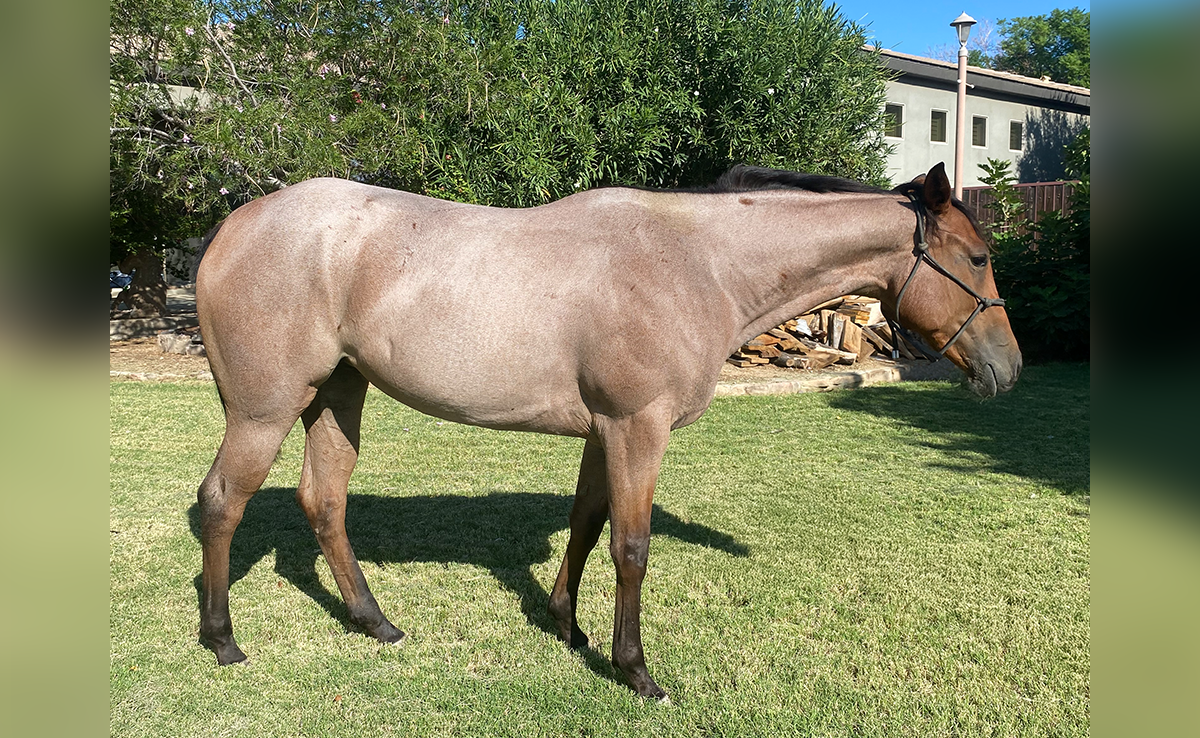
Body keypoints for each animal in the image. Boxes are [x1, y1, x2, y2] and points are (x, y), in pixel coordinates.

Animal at [194, 161, 1020, 700]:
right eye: (978, 258)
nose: (1008, 368)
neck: (696, 263)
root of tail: (234, 225)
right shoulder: (637, 429)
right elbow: (632, 547)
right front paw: (635, 669)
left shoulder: (603, 433)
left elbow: (586, 526)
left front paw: (567, 627)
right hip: (266, 411)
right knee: (222, 503)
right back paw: (223, 639)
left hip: (338, 395)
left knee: (324, 502)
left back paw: (375, 623)